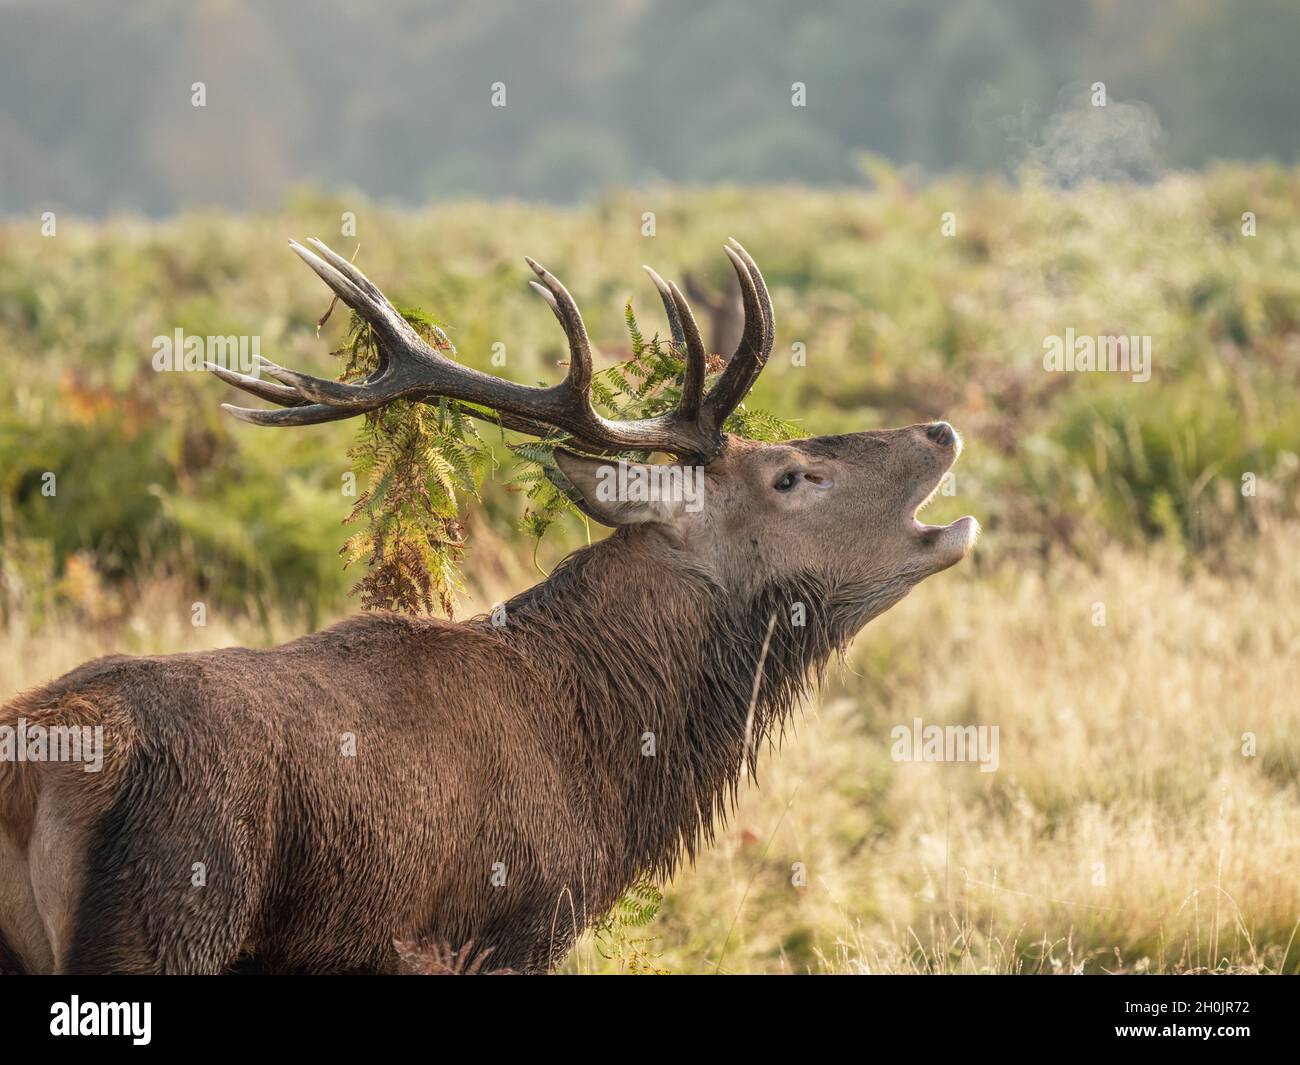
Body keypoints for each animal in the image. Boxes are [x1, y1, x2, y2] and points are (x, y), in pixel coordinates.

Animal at [0, 238, 978, 974]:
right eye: (790, 475)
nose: (940, 428)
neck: (601, 771)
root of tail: (32, 770)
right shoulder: (504, 925)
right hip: (167, 922)